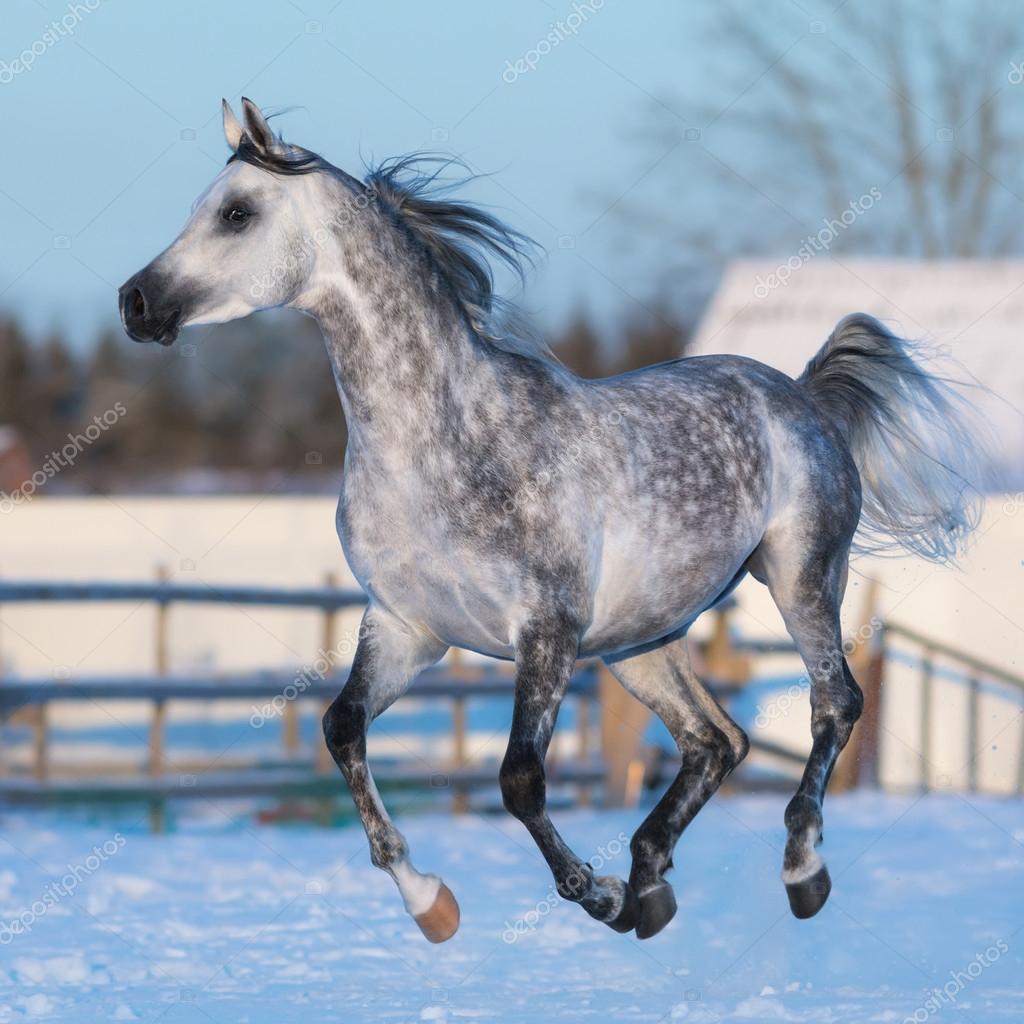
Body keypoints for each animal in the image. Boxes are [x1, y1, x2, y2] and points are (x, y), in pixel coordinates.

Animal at [119, 98, 983, 944]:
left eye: (236, 212)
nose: (135, 302)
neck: (443, 448)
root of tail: (801, 394)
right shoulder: (405, 627)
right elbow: (342, 730)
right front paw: (431, 904)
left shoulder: (547, 633)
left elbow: (521, 781)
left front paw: (596, 896)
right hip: (637, 641)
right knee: (717, 741)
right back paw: (651, 881)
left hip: (801, 577)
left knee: (834, 703)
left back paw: (798, 872)